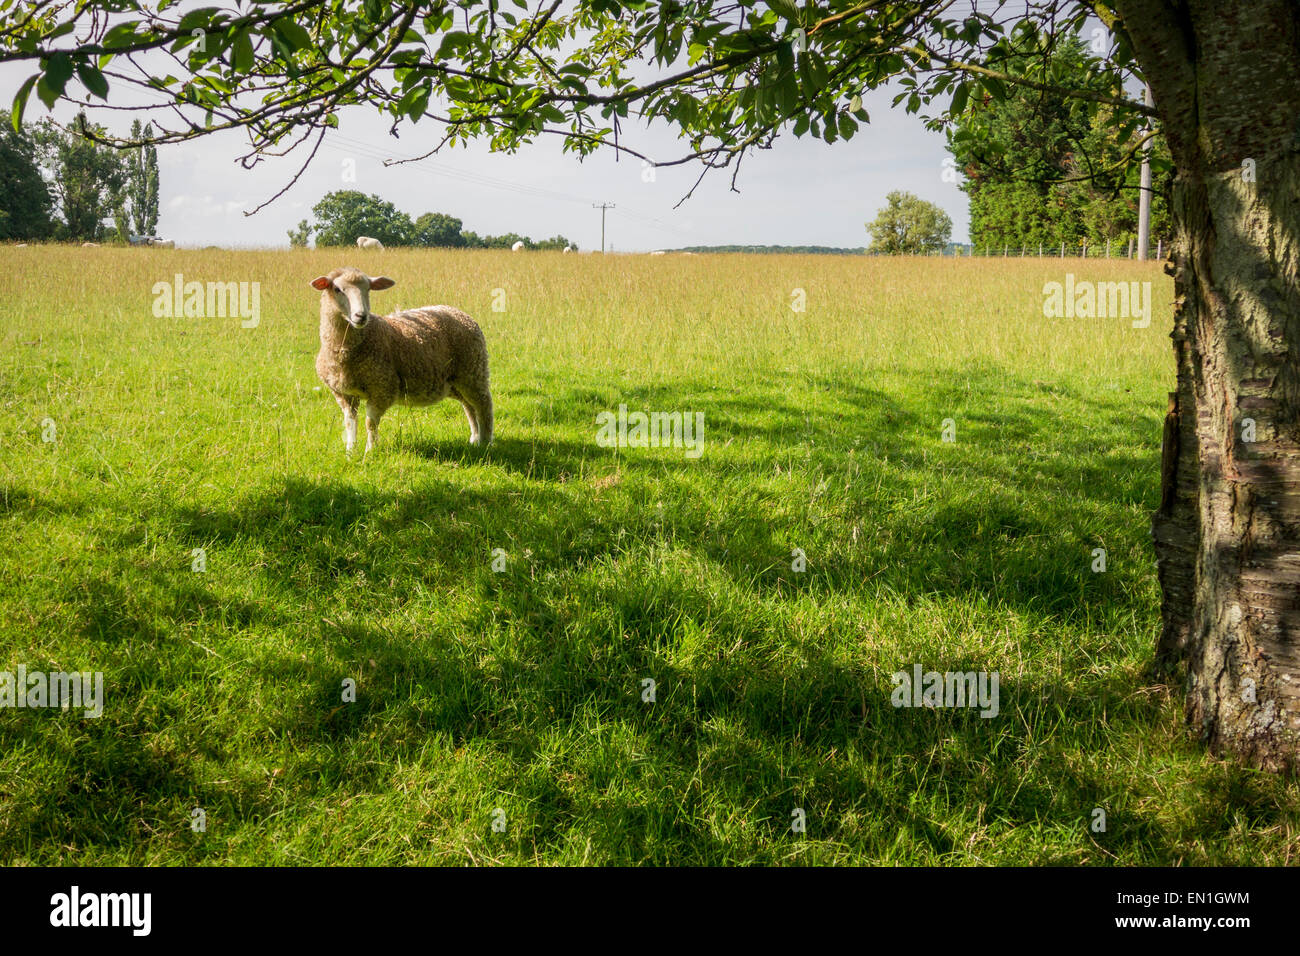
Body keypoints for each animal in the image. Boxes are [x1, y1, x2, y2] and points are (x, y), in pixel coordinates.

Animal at [311, 266, 493, 454]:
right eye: (337, 289)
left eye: (368, 289)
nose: (361, 316)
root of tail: (460, 312)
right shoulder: (344, 394)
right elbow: (349, 422)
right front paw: (350, 451)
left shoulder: (383, 389)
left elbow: (370, 423)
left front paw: (370, 451)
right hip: (456, 381)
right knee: (469, 406)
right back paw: (475, 438)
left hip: (473, 371)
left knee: (483, 404)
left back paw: (485, 441)